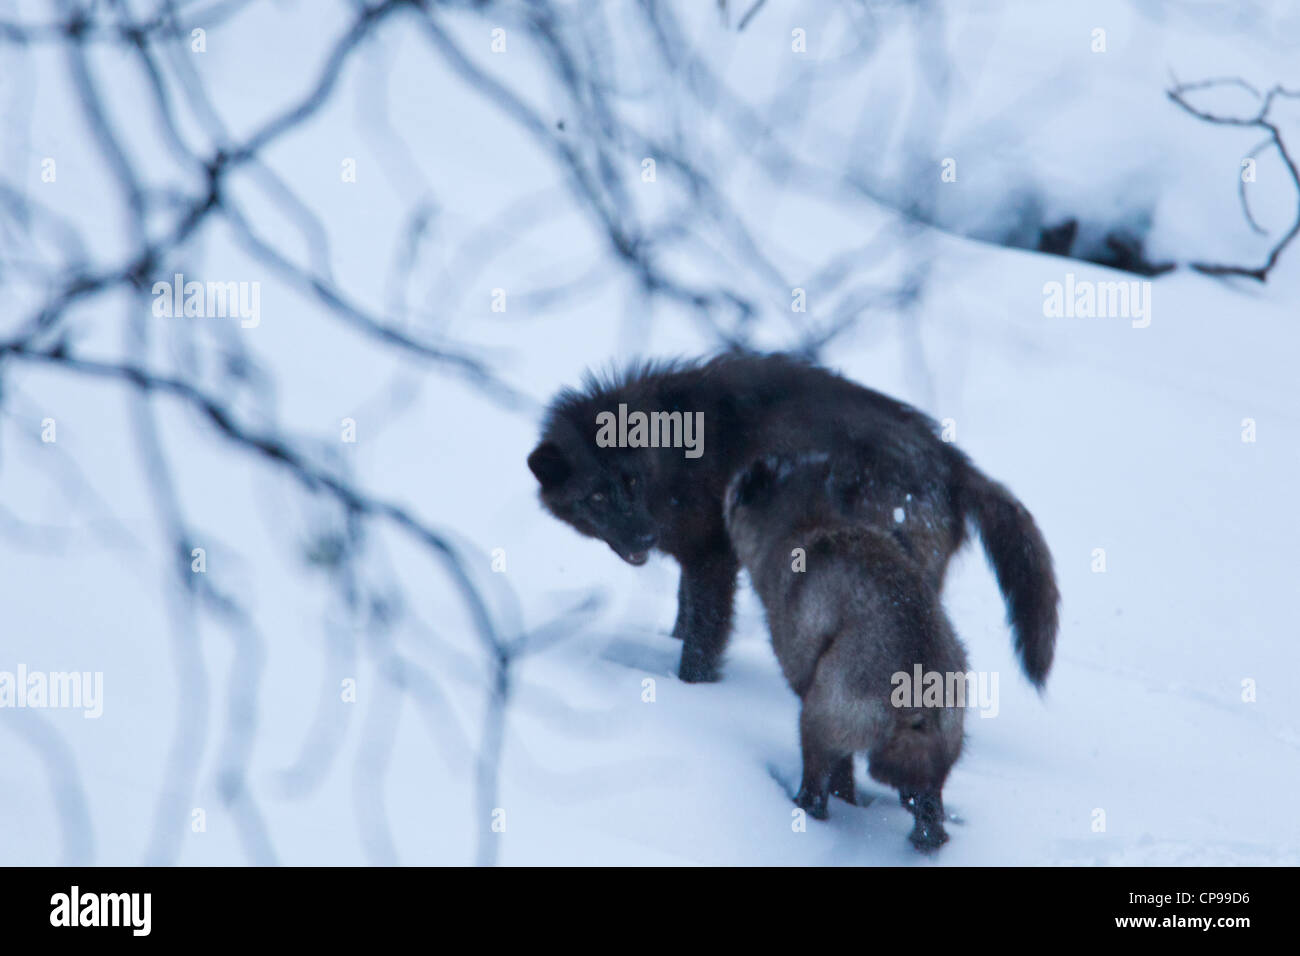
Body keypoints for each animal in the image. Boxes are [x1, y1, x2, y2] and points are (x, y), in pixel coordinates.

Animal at [527, 351, 1057, 691]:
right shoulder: (693, 558)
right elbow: (682, 615)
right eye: (598, 495)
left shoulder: (713, 558)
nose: (644, 535)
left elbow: (702, 637)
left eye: (633, 482)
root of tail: (954, 462)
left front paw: (691, 691)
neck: (674, 452)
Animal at [724, 451, 967, 850]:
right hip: (944, 743)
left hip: (820, 714)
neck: (805, 521)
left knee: (817, 783)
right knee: (929, 811)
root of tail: (918, 691)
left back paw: (802, 809)